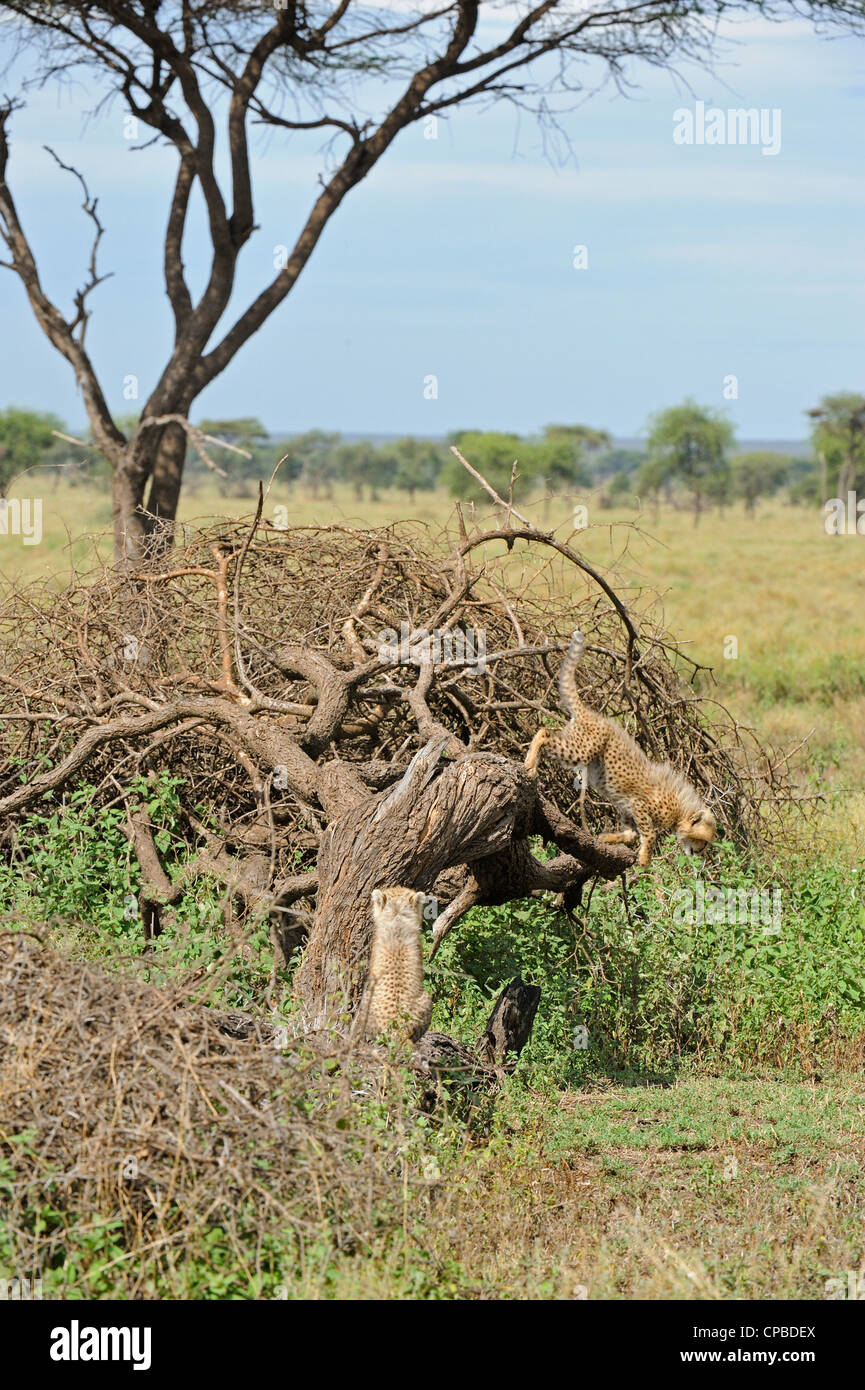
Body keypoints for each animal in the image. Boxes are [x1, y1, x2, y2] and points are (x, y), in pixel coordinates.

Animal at [525, 630, 716, 867]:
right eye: (704, 842)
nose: (699, 853)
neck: (679, 812)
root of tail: (590, 713)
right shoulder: (639, 805)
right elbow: (650, 834)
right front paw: (645, 859)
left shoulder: (629, 809)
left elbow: (632, 834)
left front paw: (608, 838)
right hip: (580, 751)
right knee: (543, 733)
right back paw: (529, 765)